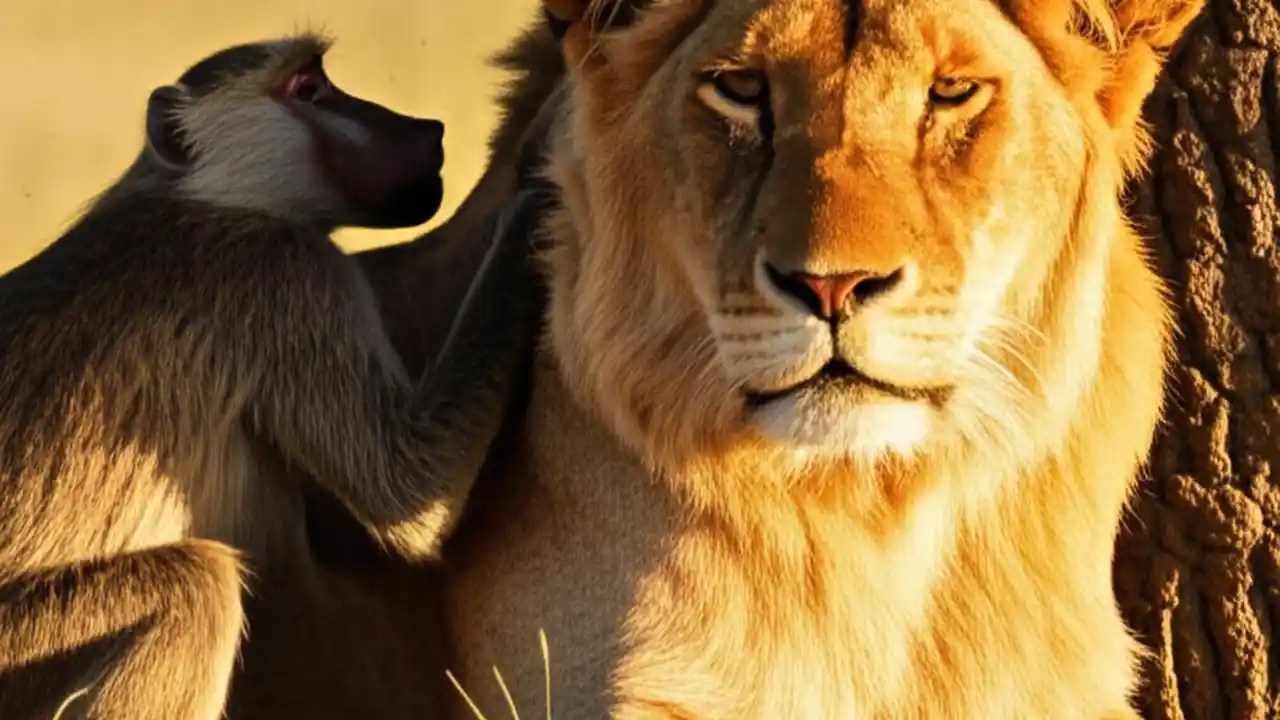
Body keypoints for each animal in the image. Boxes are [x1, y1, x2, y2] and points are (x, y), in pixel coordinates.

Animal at [0, 34, 547, 720]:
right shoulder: (295, 276)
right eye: (308, 89)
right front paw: (536, 189)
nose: (428, 130)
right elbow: (409, 491)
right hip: (23, 647)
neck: (207, 195)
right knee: (198, 588)